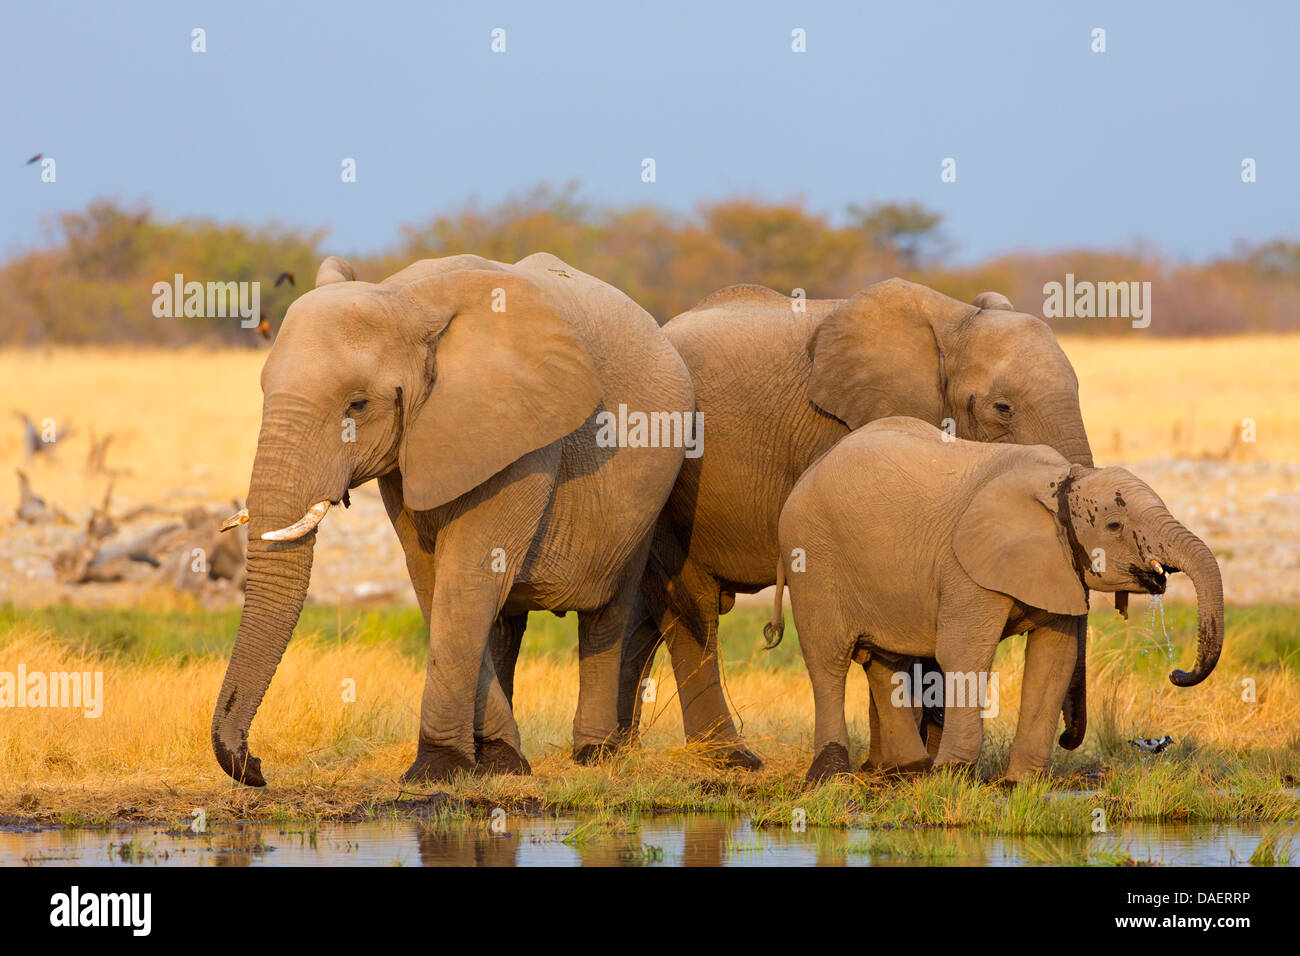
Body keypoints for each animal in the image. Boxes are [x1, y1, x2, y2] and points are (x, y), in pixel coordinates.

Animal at [210, 252, 694, 786]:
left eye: (357, 404)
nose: (257, 767)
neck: (404, 299)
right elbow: (432, 580)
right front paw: (499, 763)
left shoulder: (520, 430)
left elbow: (466, 580)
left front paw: (437, 770)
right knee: (505, 622)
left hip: (648, 498)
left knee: (607, 613)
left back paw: (595, 755)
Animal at [609, 278, 1094, 769]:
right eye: (1002, 407)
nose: (1067, 738)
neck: (953, 323)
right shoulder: (846, 429)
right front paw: (896, 769)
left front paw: (899, 766)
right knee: (691, 610)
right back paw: (730, 758)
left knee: (645, 615)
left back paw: (613, 749)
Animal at [765, 416, 1223, 782]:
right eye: (1114, 525)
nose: (1177, 673)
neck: (1059, 482)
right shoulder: (966, 566)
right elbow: (964, 653)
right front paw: (951, 776)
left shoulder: (1055, 563)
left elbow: (1054, 660)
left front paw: (1019, 784)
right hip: (812, 555)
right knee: (828, 660)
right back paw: (830, 774)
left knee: (883, 659)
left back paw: (910, 770)